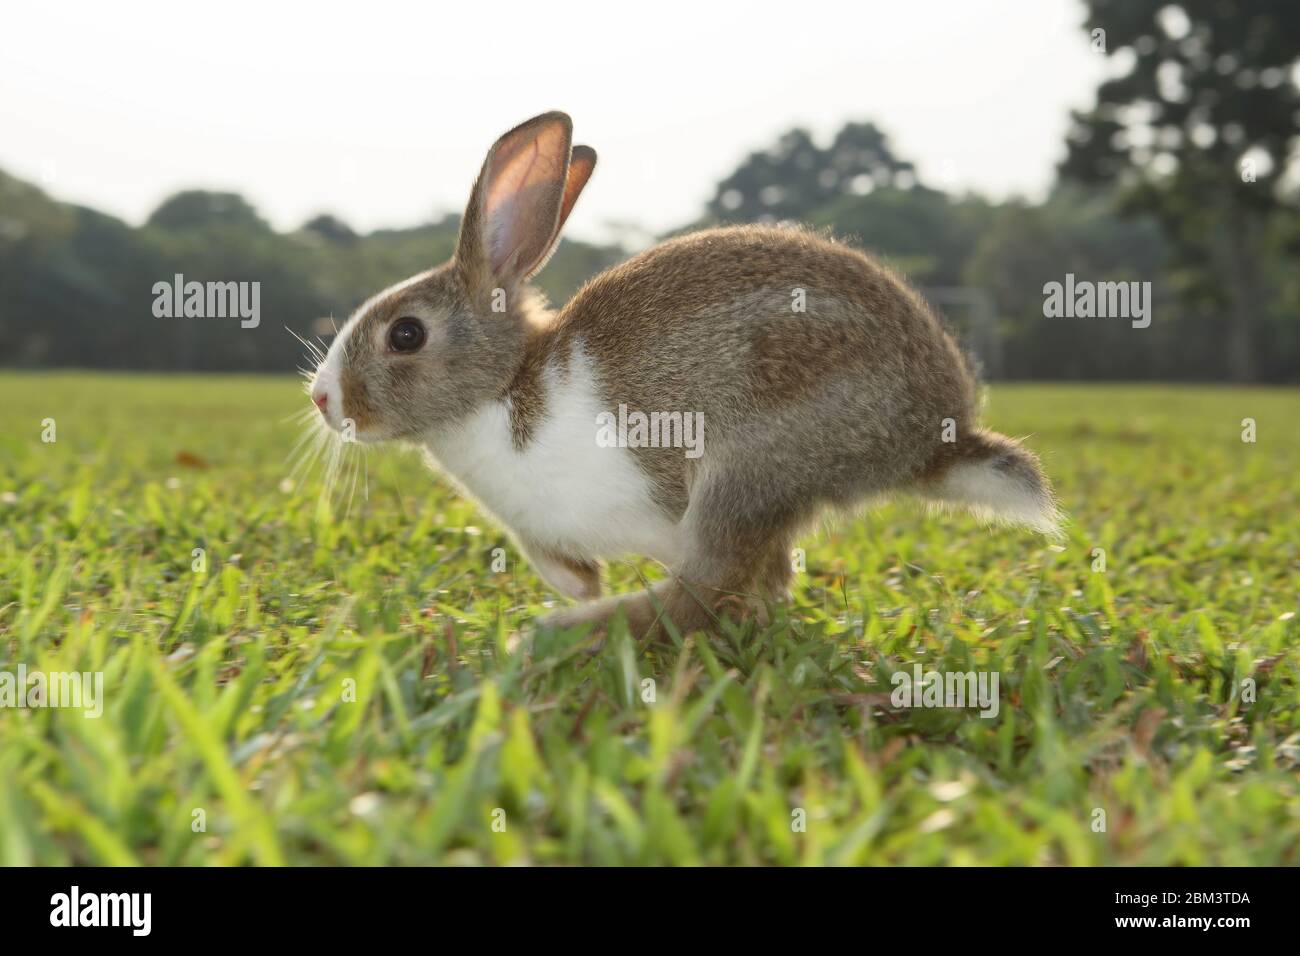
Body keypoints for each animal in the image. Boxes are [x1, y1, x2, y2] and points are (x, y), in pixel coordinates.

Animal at [308, 111, 1059, 640]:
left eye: (406, 334)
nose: (321, 398)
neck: (504, 387)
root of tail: (936, 436)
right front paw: (579, 581)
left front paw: (577, 597)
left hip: (745, 465)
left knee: (701, 590)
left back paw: (561, 634)